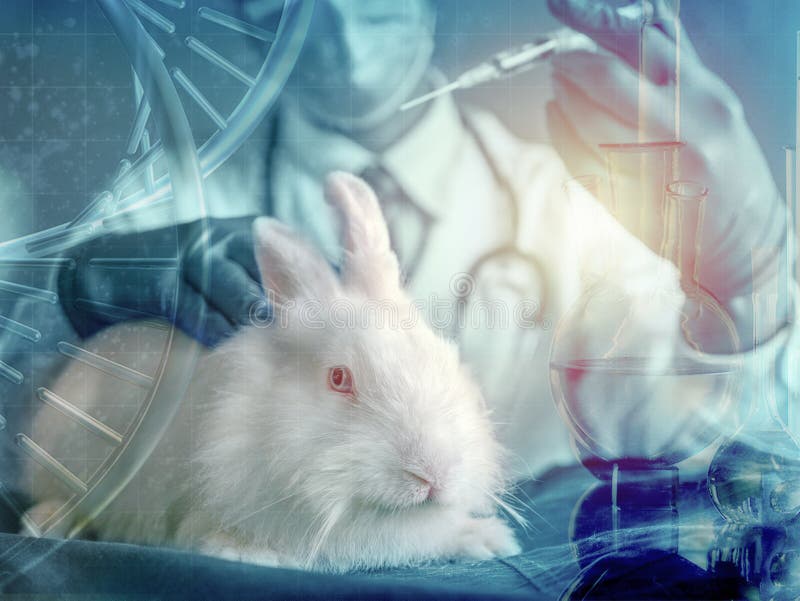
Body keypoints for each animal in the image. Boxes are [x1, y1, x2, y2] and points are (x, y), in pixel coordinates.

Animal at [22, 172, 521, 572]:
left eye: (445, 359)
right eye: (339, 379)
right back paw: (44, 523)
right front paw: (243, 552)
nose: (433, 474)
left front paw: (489, 539)